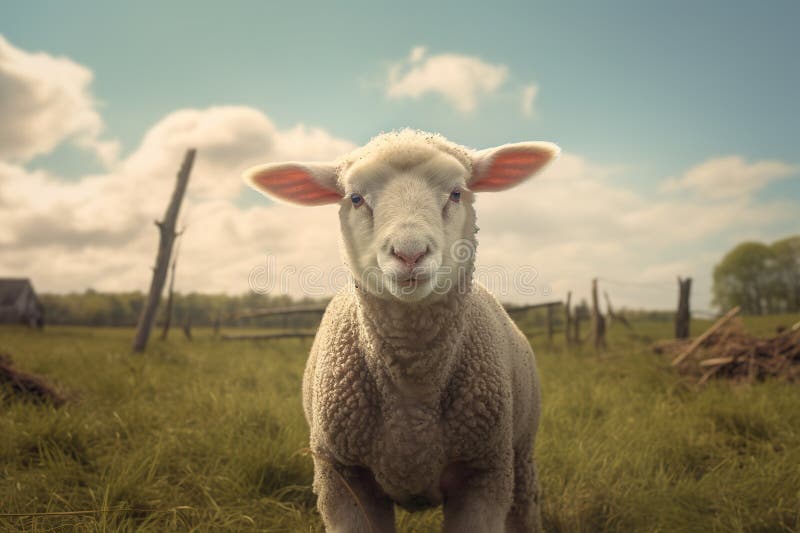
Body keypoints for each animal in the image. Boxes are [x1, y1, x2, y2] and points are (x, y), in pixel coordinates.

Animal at [244, 129, 559, 532]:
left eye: (456, 193)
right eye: (356, 198)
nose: (410, 253)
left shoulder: (484, 472)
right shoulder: (342, 477)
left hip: (520, 452)